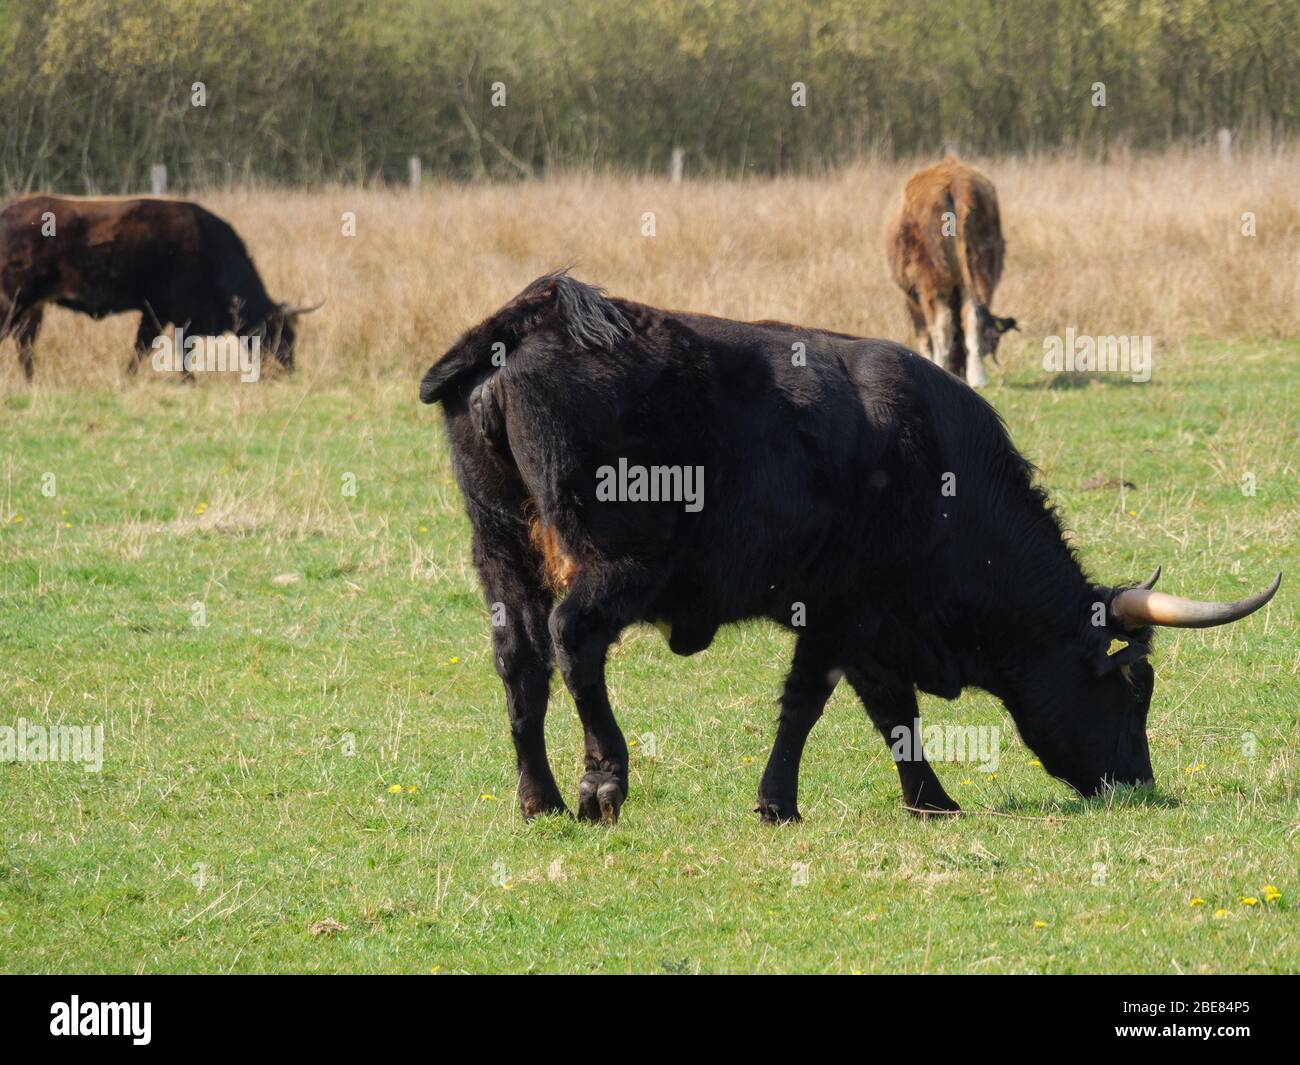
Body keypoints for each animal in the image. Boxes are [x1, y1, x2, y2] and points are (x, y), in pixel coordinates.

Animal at [0, 195, 321, 379]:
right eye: (281, 334)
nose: (290, 370)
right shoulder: (176, 314)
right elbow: (174, 348)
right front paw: (187, 380)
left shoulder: (157, 311)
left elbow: (144, 346)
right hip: (14, 301)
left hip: (31, 306)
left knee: (24, 341)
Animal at [420, 272, 1280, 825]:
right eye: (1134, 683)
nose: (1137, 782)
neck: (938, 468)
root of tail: (530, 322)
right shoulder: (839, 610)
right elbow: (816, 703)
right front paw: (785, 800)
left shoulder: (869, 627)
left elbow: (886, 710)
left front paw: (924, 797)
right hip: (613, 562)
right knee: (573, 641)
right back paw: (603, 782)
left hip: (501, 557)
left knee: (520, 664)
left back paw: (539, 798)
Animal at [885, 156, 1016, 388]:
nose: (959, 371)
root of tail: (956, 184)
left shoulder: (913, 299)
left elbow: (925, 334)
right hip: (980, 274)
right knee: (973, 318)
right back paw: (977, 377)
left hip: (933, 283)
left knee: (942, 325)